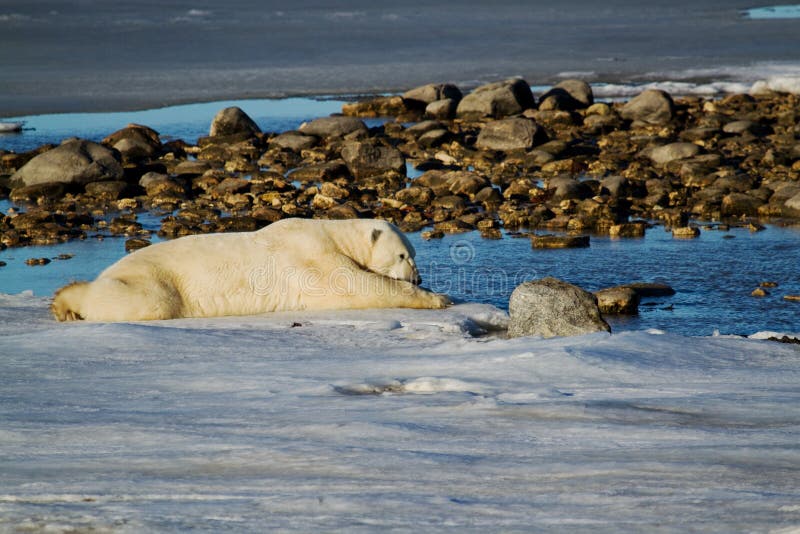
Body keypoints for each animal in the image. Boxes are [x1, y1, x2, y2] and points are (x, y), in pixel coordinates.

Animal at [51, 218, 451, 322]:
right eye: (403, 256)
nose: (418, 277)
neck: (333, 233)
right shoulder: (312, 258)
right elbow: (355, 286)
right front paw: (440, 298)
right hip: (152, 280)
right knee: (149, 302)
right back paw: (67, 303)